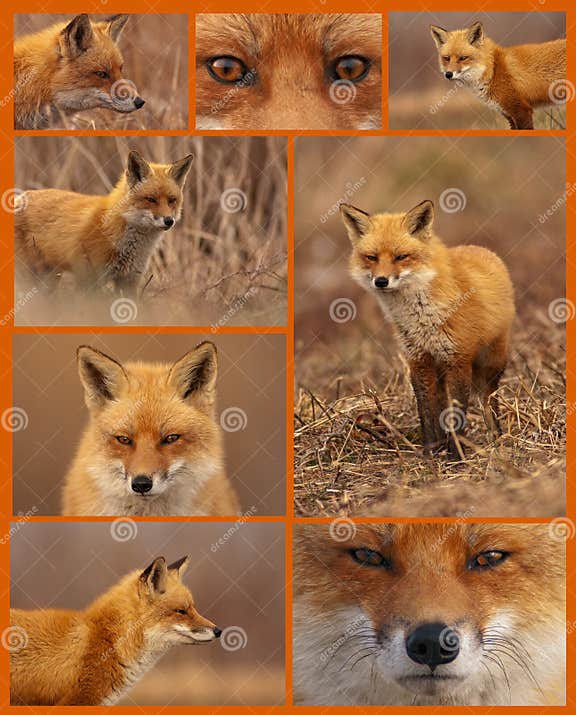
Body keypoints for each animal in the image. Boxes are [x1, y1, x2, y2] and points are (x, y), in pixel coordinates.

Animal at [15, 150, 193, 294]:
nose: (169, 221)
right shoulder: (88, 279)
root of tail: (19, 198)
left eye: (172, 200)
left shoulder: (129, 280)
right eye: (151, 199)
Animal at [340, 200, 515, 458]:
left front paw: (456, 457)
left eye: (401, 257)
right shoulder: (418, 359)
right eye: (371, 257)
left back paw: (497, 437)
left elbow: (458, 413)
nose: (381, 281)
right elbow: (427, 411)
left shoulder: (458, 360)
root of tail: (483, 249)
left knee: (487, 399)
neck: (420, 319)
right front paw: (430, 452)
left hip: (491, 362)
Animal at [429, 21, 566, 130]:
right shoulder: (508, 114)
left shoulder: (521, 110)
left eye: (463, 58)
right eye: (446, 58)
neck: (493, 69)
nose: (448, 74)